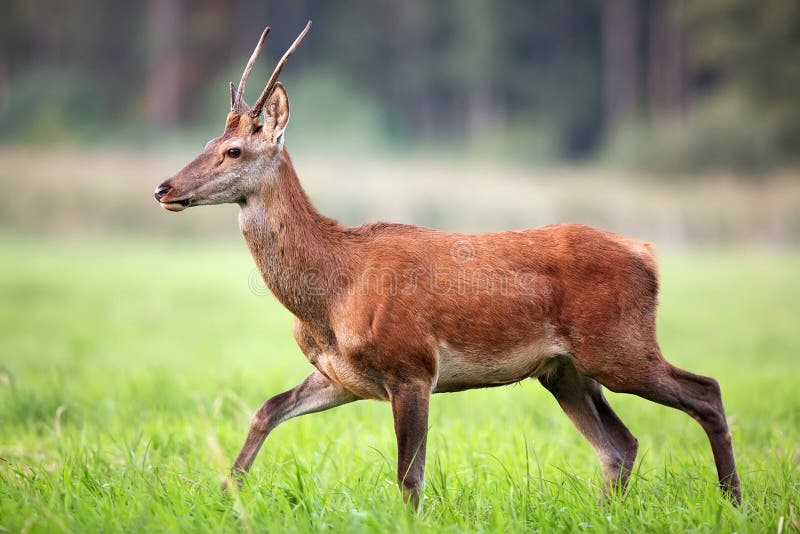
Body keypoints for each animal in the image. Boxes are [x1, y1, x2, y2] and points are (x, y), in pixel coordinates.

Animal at [153, 21, 741, 509]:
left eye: (233, 151)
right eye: (208, 139)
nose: (163, 188)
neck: (332, 292)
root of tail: (647, 254)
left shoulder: (411, 365)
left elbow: (409, 476)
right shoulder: (343, 376)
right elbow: (265, 410)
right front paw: (225, 496)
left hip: (618, 344)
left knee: (706, 391)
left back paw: (733, 502)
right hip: (565, 369)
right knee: (620, 444)